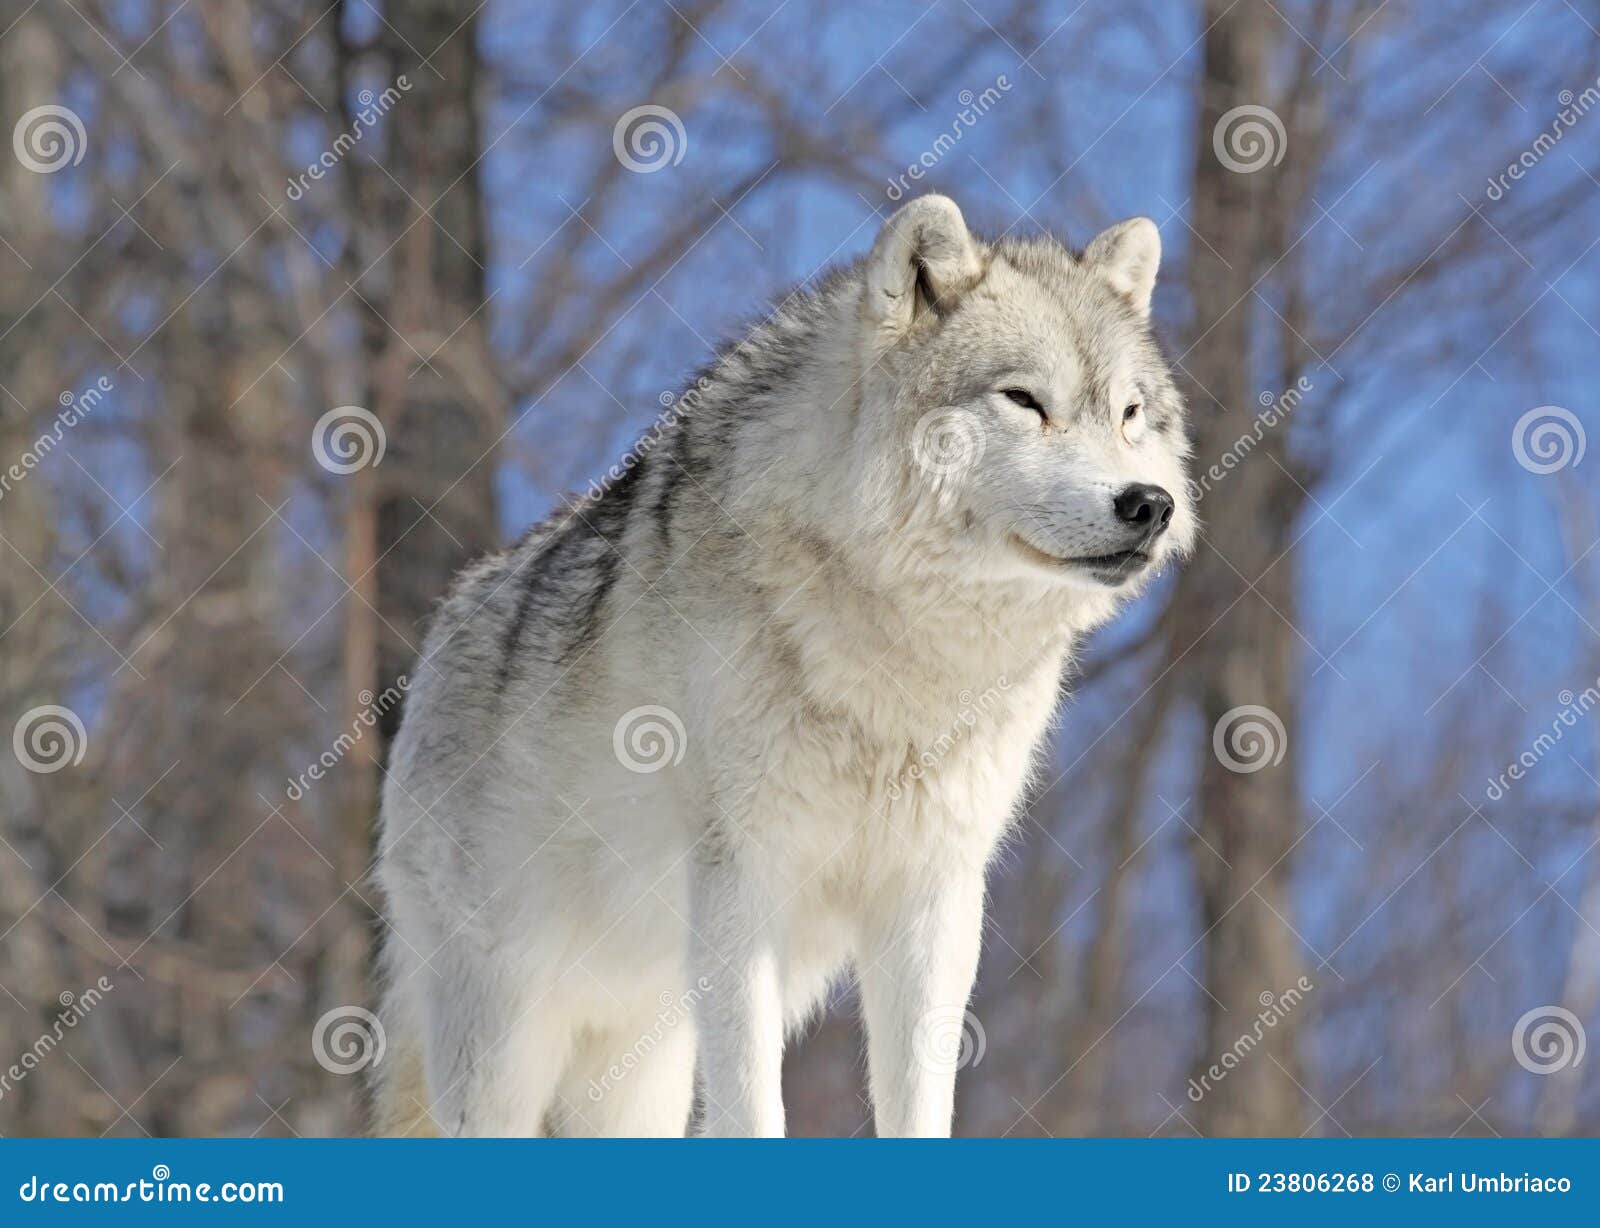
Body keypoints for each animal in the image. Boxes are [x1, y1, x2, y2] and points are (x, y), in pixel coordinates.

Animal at [371, 195, 1195, 1137]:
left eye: (1129, 414)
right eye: (1024, 401)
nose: (1149, 504)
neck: (898, 651)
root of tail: (445, 629)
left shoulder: (934, 896)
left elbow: (920, 1103)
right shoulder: (741, 881)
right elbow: (754, 1108)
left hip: (637, 1068)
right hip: (506, 1049)